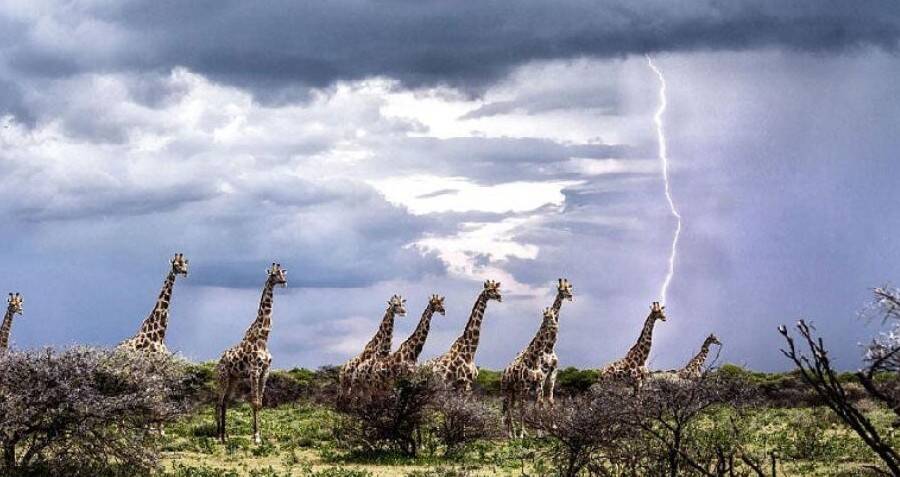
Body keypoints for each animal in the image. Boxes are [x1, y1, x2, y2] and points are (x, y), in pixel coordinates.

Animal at [215, 263, 287, 444]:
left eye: (283, 273)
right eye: (273, 274)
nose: (284, 282)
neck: (264, 337)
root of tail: (218, 362)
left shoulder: (265, 371)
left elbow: (260, 403)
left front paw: (259, 436)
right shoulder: (254, 371)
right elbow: (254, 402)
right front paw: (256, 438)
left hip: (234, 378)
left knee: (225, 401)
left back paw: (225, 436)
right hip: (223, 377)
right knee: (218, 401)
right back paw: (218, 436)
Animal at [501, 278, 573, 437]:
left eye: (569, 287)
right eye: (562, 289)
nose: (571, 296)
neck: (549, 348)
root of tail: (504, 370)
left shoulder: (552, 373)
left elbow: (548, 401)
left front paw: (551, 428)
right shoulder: (534, 380)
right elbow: (531, 405)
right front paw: (533, 432)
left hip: (515, 389)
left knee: (512, 407)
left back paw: (513, 432)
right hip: (507, 388)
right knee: (508, 407)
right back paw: (511, 433)